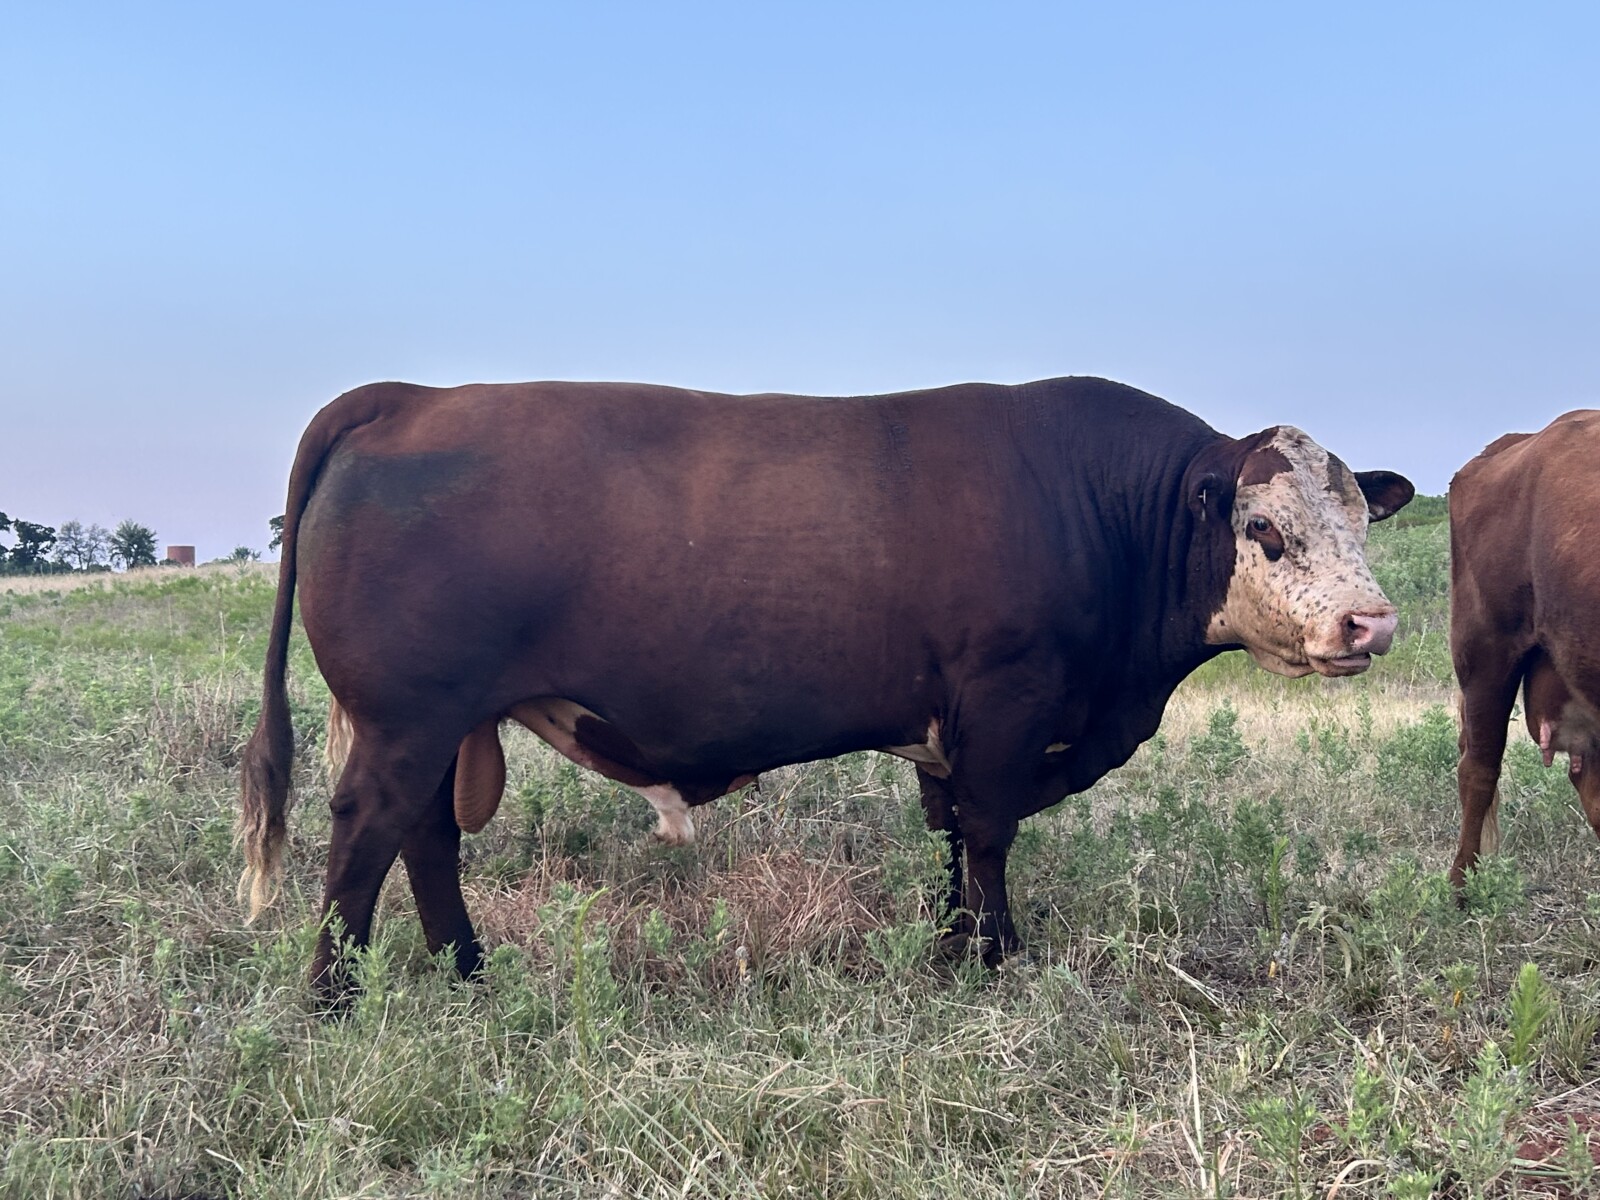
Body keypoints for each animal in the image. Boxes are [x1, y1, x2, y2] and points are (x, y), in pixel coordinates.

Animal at [238, 376, 1414, 998]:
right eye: (1265, 529)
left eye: (1360, 517)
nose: (1372, 622)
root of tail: (410, 397)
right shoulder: (1006, 702)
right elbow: (990, 833)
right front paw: (998, 957)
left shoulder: (948, 727)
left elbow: (951, 838)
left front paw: (951, 944)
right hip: (408, 716)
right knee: (368, 832)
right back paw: (336, 997)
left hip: (444, 722)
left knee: (426, 837)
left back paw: (468, 971)